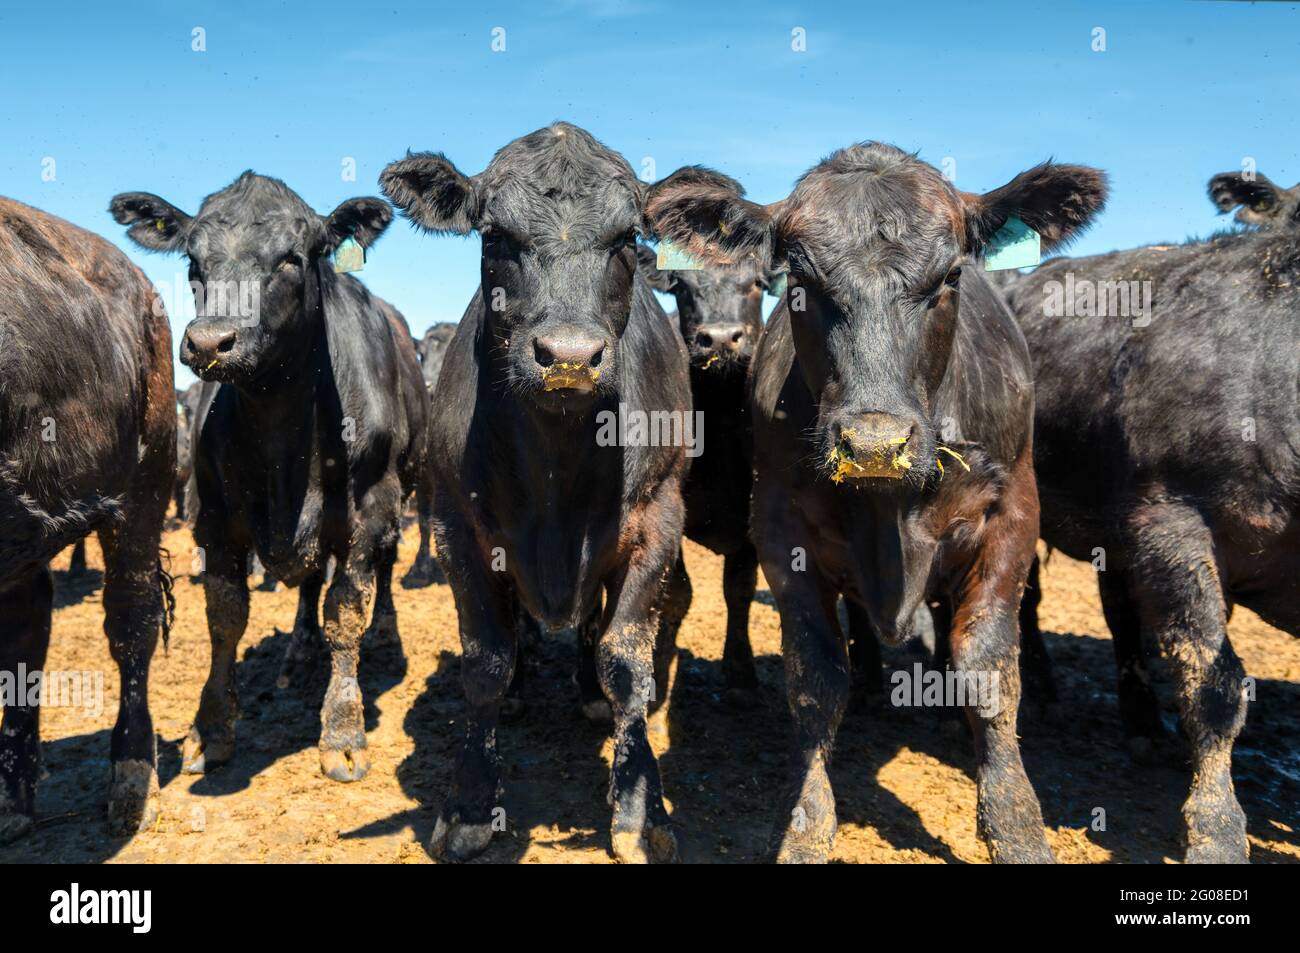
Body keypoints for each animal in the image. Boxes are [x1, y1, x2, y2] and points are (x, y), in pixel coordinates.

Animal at [110, 171, 428, 784]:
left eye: (292, 257)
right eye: (193, 259)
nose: (211, 340)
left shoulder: (369, 511)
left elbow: (347, 609)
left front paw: (343, 732)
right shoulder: (213, 517)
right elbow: (226, 616)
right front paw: (211, 729)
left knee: (379, 573)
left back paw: (385, 631)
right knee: (308, 584)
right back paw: (299, 651)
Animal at [380, 122, 693, 863]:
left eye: (627, 237)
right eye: (495, 235)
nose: (569, 356)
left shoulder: (659, 522)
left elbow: (626, 659)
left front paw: (641, 807)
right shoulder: (458, 530)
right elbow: (485, 662)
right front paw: (469, 801)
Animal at [647, 144, 1107, 863]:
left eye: (951, 275)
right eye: (801, 279)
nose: (873, 444)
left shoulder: (1011, 517)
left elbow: (989, 665)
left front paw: (1016, 826)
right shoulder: (778, 526)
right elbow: (815, 677)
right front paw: (805, 822)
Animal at [997, 173, 1300, 863]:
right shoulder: (1174, 521)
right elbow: (1212, 683)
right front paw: (1215, 828)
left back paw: (1142, 725)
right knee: (1027, 602)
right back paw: (1047, 695)